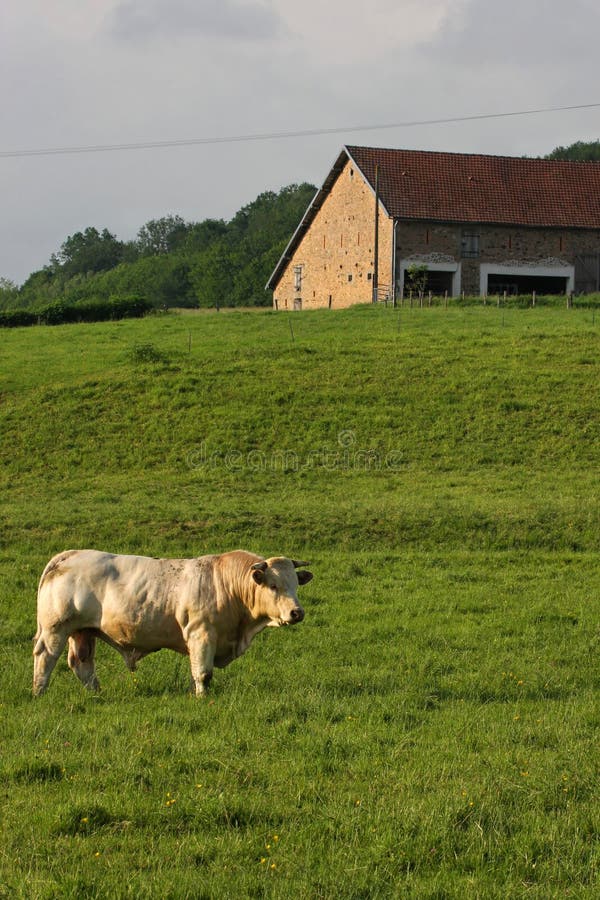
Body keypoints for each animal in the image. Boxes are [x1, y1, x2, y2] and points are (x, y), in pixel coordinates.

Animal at [33, 549, 312, 697]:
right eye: (274, 586)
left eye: (296, 585)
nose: (297, 612)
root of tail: (68, 555)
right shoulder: (202, 635)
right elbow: (203, 672)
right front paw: (202, 697)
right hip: (55, 629)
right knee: (46, 657)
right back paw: (39, 692)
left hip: (83, 631)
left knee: (82, 663)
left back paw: (96, 693)